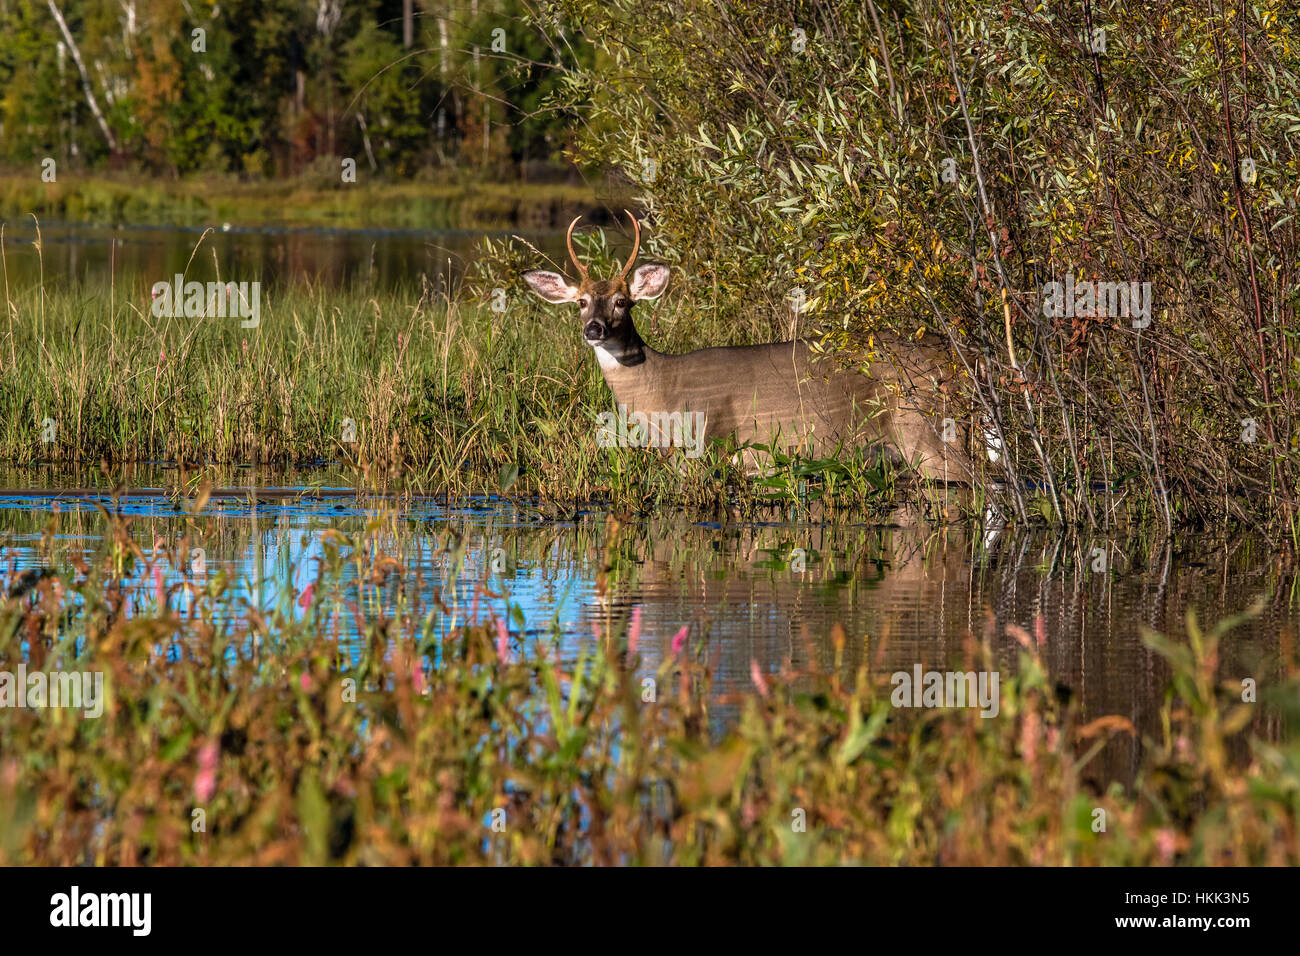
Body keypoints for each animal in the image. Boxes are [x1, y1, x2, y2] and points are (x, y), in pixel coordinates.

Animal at [522, 212, 974, 481]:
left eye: (621, 301)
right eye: (581, 302)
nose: (594, 329)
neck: (660, 389)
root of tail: (956, 360)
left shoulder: (702, 444)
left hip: (928, 431)